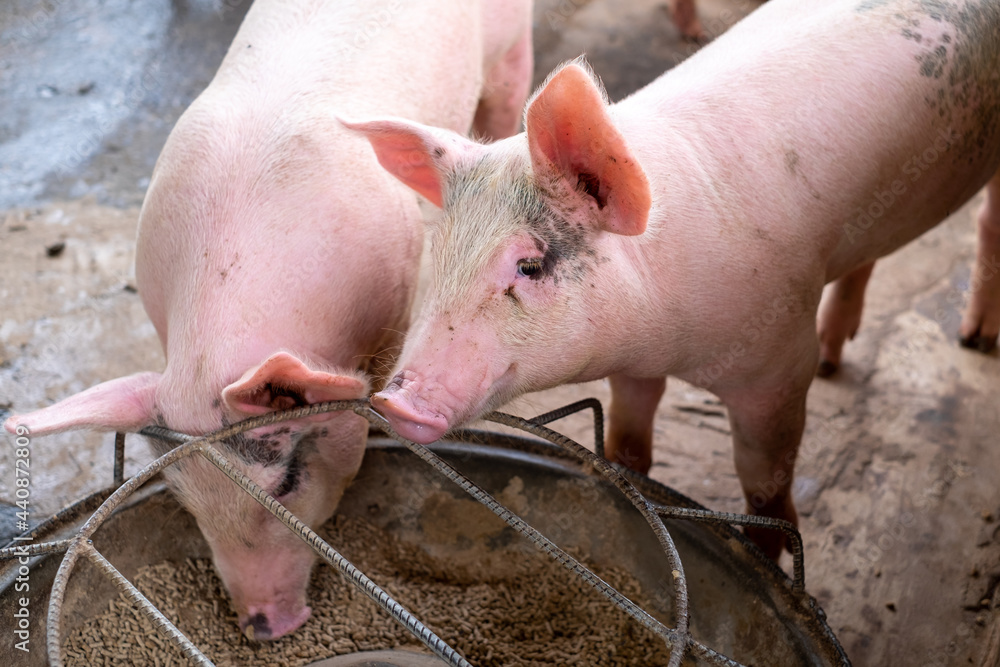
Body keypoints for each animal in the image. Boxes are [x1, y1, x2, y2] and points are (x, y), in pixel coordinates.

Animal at [346, 0, 1000, 560]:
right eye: (437, 256)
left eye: (529, 265)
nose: (391, 399)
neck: (665, 337)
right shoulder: (635, 368)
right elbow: (629, 445)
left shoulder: (782, 360)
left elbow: (764, 484)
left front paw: (764, 555)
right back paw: (843, 357)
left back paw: (975, 340)